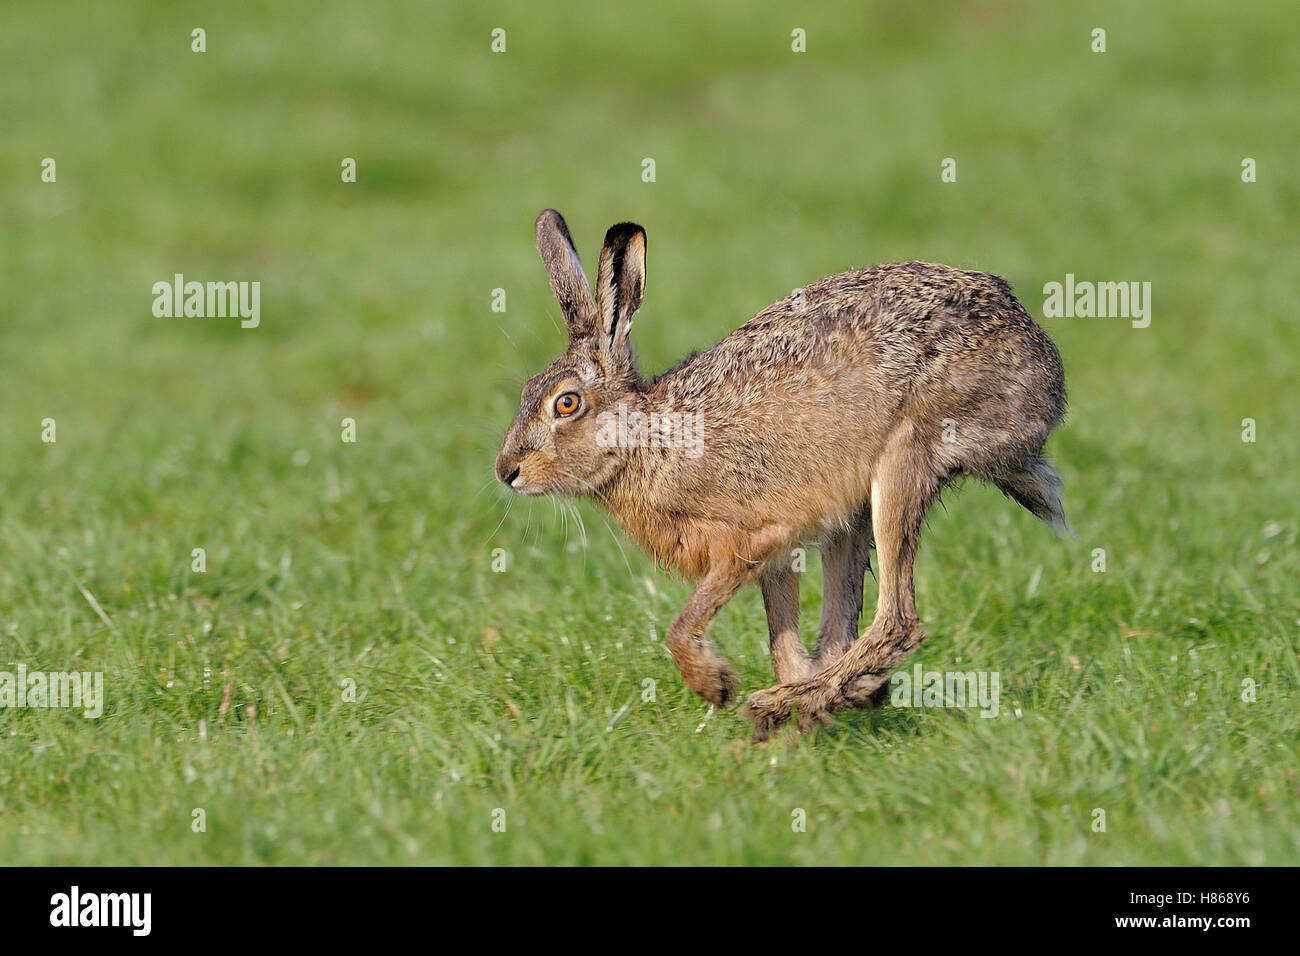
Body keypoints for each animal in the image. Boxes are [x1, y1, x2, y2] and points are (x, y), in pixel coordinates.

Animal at [495, 209, 1068, 740]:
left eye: (566, 403)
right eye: (525, 389)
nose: (507, 472)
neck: (648, 442)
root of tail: (1042, 363)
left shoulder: (748, 539)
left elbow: (682, 627)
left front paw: (717, 686)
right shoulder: (778, 557)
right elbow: (783, 644)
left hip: (906, 457)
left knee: (897, 621)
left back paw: (779, 703)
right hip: (853, 516)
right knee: (844, 629)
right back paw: (832, 698)